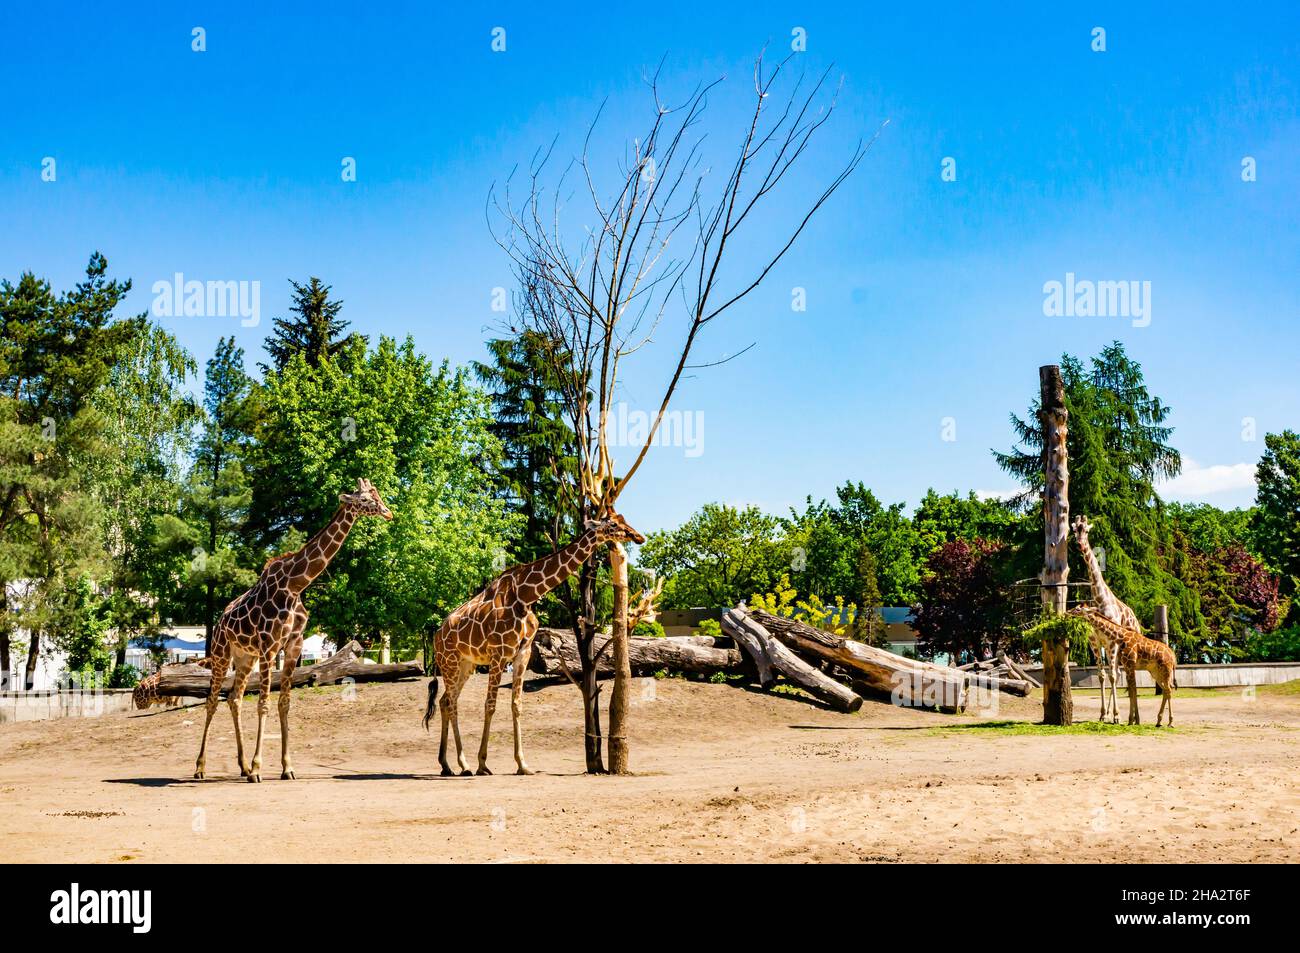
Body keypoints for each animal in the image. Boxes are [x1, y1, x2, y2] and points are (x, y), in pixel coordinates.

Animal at [193, 478, 392, 782]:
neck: (295, 585)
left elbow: (284, 703)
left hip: (245, 658)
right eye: (365, 499)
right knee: (212, 700)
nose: (388, 513)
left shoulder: (293, 645)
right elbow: (264, 703)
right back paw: (202, 768)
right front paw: (259, 769)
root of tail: (219, 622)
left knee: (234, 699)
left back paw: (242, 766)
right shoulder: (269, 646)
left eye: (377, 495)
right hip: (221, 654)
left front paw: (286, 767)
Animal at [423, 511, 645, 777]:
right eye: (612, 524)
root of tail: (436, 636)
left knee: (446, 701)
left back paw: (449, 765)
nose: (638, 536)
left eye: (624, 519)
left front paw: (522, 764)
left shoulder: (523, 653)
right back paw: (462, 765)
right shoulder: (499, 655)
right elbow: (490, 705)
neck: (526, 595)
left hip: (467, 664)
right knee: (450, 703)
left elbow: (516, 705)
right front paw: (483, 764)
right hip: (450, 662)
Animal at [1072, 514, 1141, 723]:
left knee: (1123, 674)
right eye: (1074, 529)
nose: (1080, 544)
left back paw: (1123, 715)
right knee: (1117, 672)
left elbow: (1111, 676)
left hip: (1124, 649)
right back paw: (1112, 713)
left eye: (1086, 530)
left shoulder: (1111, 642)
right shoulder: (1095, 641)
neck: (1100, 600)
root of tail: (1136, 620)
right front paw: (1104, 714)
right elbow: (1102, 675)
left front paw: (1117, 716)